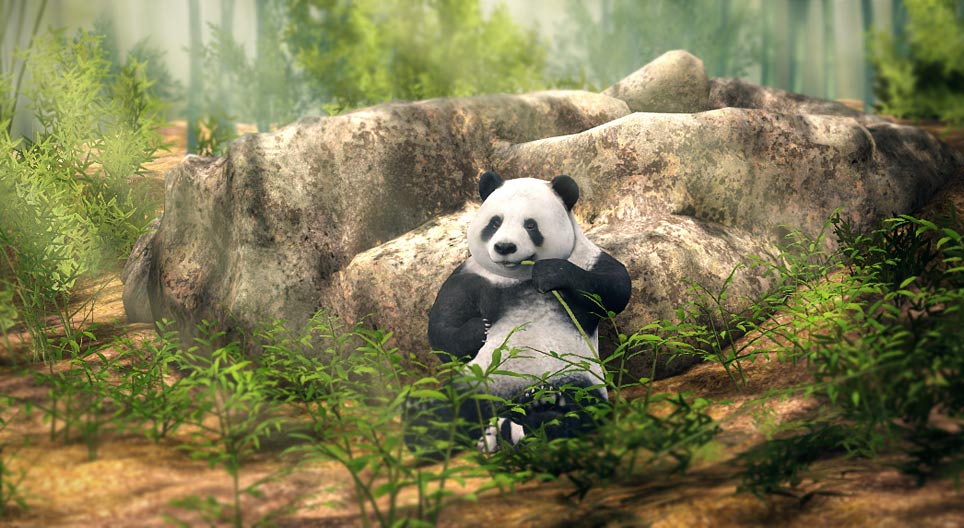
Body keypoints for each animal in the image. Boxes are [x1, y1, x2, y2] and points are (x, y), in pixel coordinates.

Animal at [407, 171, 632, 454]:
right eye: (495, 222)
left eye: (530, 225)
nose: (504, 247)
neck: (519, 275)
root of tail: (507, 404)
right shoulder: (472, 276)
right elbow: (442, 328)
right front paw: (479, 329)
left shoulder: (588, 258)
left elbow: (614, 291)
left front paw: (551, 272)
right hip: (477, 378)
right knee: (448, 406)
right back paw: (426, 424)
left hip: (575, 373)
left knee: (583, 407)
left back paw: (543, 408)